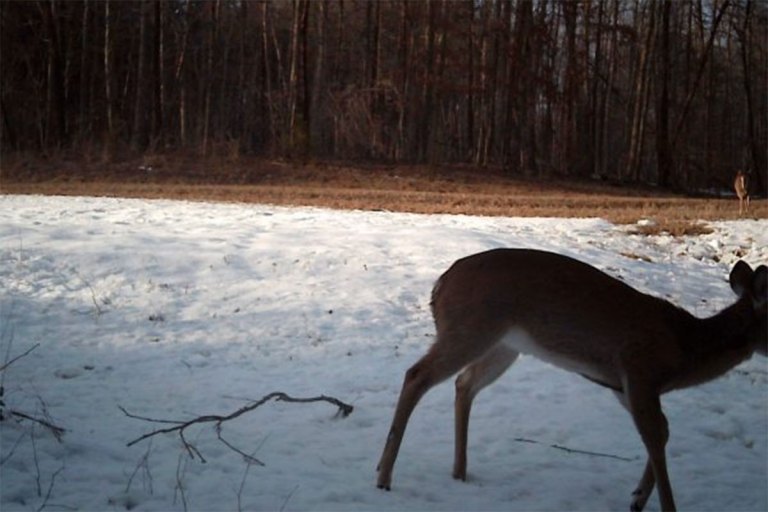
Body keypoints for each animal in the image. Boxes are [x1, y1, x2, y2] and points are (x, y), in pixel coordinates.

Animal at [376, 249, 767, 512]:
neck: (685, 348)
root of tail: (439, 284)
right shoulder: (638, 372)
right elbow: (656, 438)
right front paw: (663, 505)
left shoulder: (624, 388)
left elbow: (664, 431)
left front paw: (638, 498)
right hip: (472, 328)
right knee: (417, 376)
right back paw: (384, 477)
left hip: (505, 345)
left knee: (464, 383)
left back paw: (458, 472)